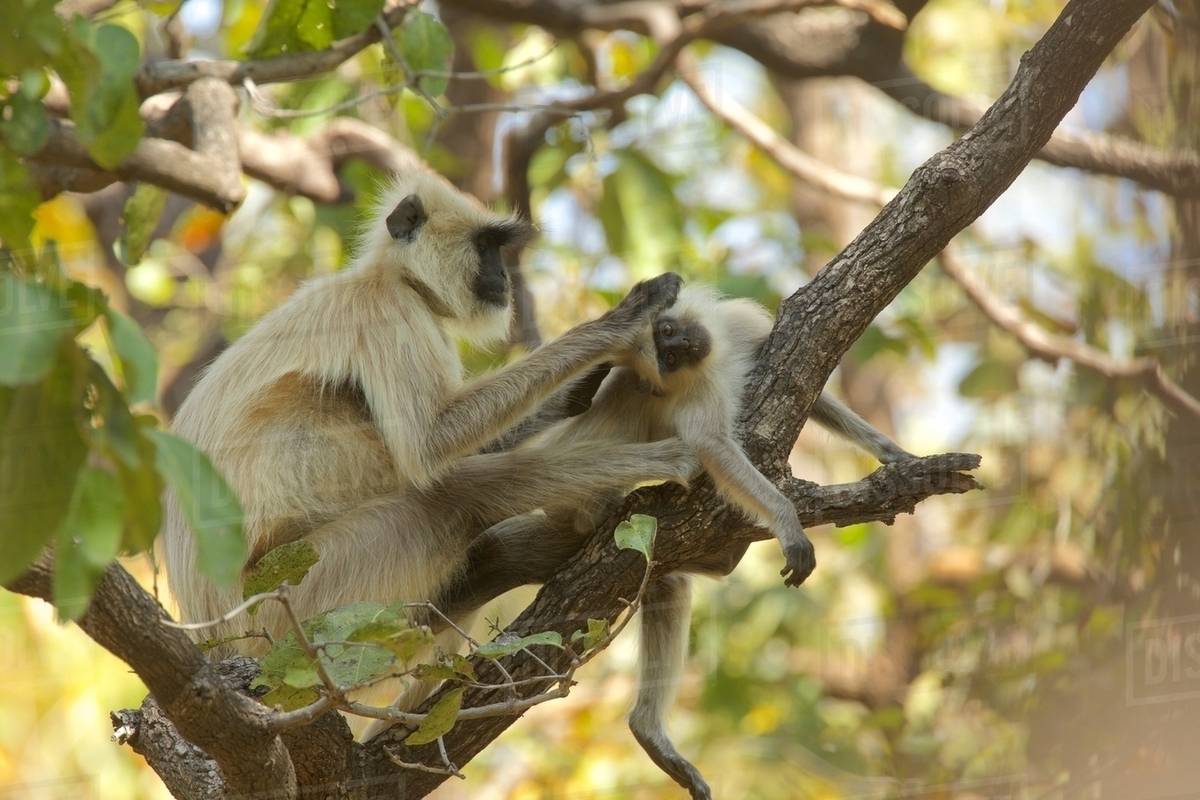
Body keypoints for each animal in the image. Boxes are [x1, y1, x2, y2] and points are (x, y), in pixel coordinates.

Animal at [160, 165, 696, 684]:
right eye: (486, 246)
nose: (503, 275)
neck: (395, 278)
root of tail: (217, 636)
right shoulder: (388, 314)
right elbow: (429, 446)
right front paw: (618, 324)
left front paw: (576, 389)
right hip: (297, 599)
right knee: (452, 497)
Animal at [435, 284, 913, 799]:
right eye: (664, 354)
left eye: (667, 332)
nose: (680, 345)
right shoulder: (685, 389)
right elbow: (711, 445)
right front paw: (788, 524)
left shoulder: (740, 328)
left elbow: (813, 392)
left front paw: (892, 452)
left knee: (666, 581)